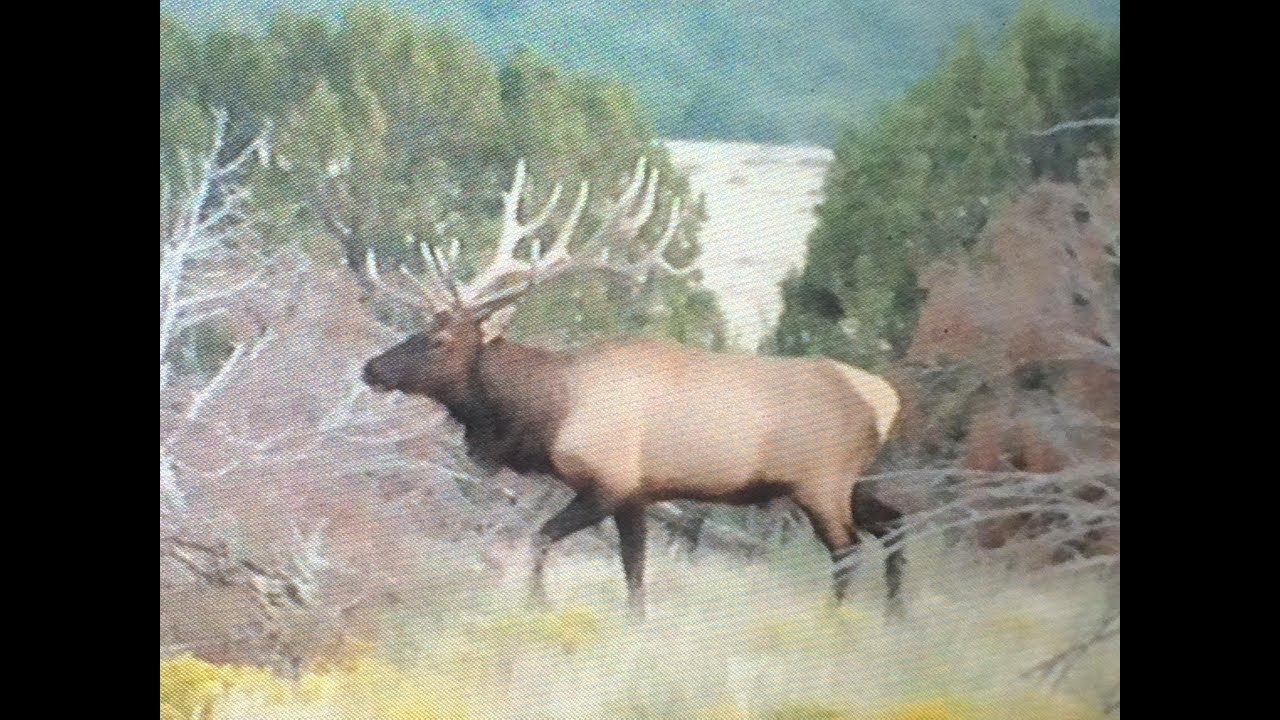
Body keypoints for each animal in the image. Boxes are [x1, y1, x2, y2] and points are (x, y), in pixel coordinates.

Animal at [359, 157, 907, 620]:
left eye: (438, 340)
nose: (371, 368)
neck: (550, 410)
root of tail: (885, 398)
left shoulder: (609, 481)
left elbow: (541, 539)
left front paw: (537, 605)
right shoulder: (638, 495)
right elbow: (634, 571)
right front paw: (635, 624)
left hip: (822, 481)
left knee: (848, 549)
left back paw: (834, 621)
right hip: (856, 481)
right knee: (895, 526)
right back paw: (895, 617)